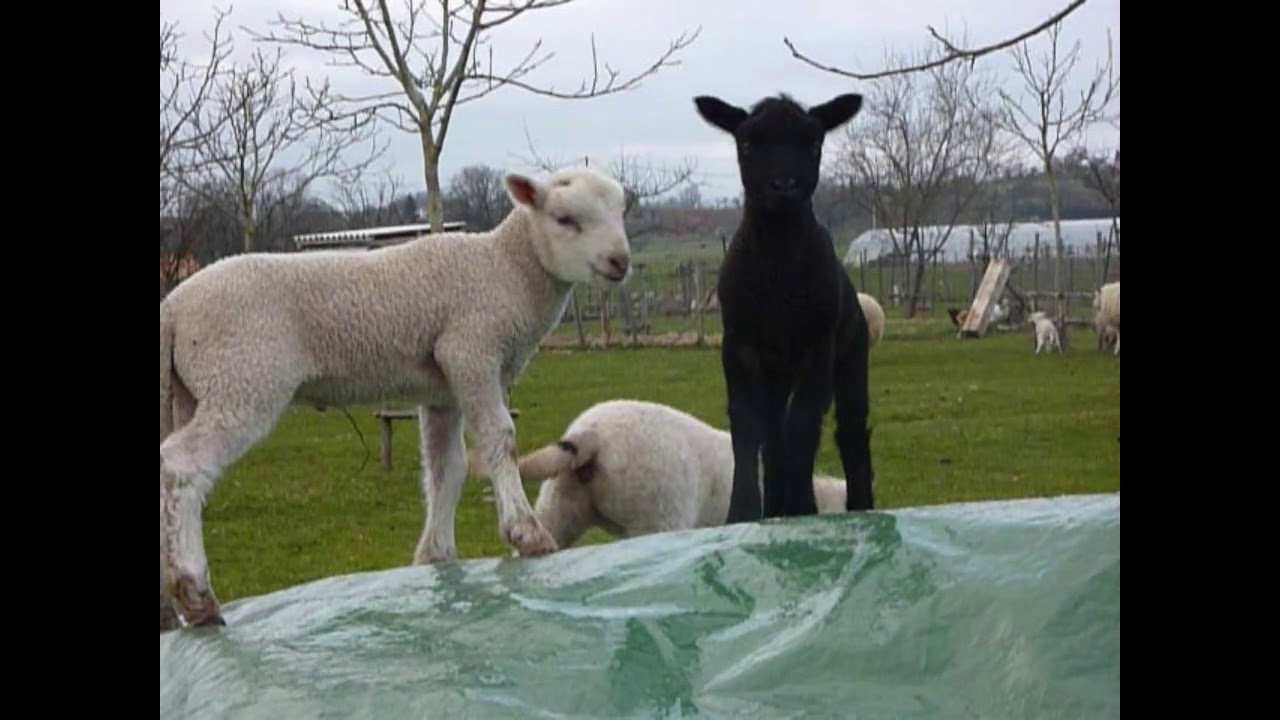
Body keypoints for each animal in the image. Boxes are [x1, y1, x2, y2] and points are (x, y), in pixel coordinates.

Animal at [159, 165, 631, 630]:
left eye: (621, 212)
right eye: (565, 219)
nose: (620, 261)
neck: (506, 268)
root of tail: (174, 308)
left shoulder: (443, 389)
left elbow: (447, 469)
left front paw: (436, 554)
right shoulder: (470, 351)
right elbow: (501, 440)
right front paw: (526, 533)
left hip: (187, 392)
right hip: (242, 377)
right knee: (181, 465)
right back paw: (196, 595)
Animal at [693, 91, 874, 523]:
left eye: (814, 144)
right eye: (746, 145)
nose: (783, 186)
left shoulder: (818, 344)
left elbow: (804, 422)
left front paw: (803, 506)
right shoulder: (738, 344)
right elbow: (747, 425)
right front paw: (742, 512)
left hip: (852, 350)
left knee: (850, 428)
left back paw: (858, 506)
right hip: (775, 370)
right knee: (774, 434)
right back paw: (775, 505)